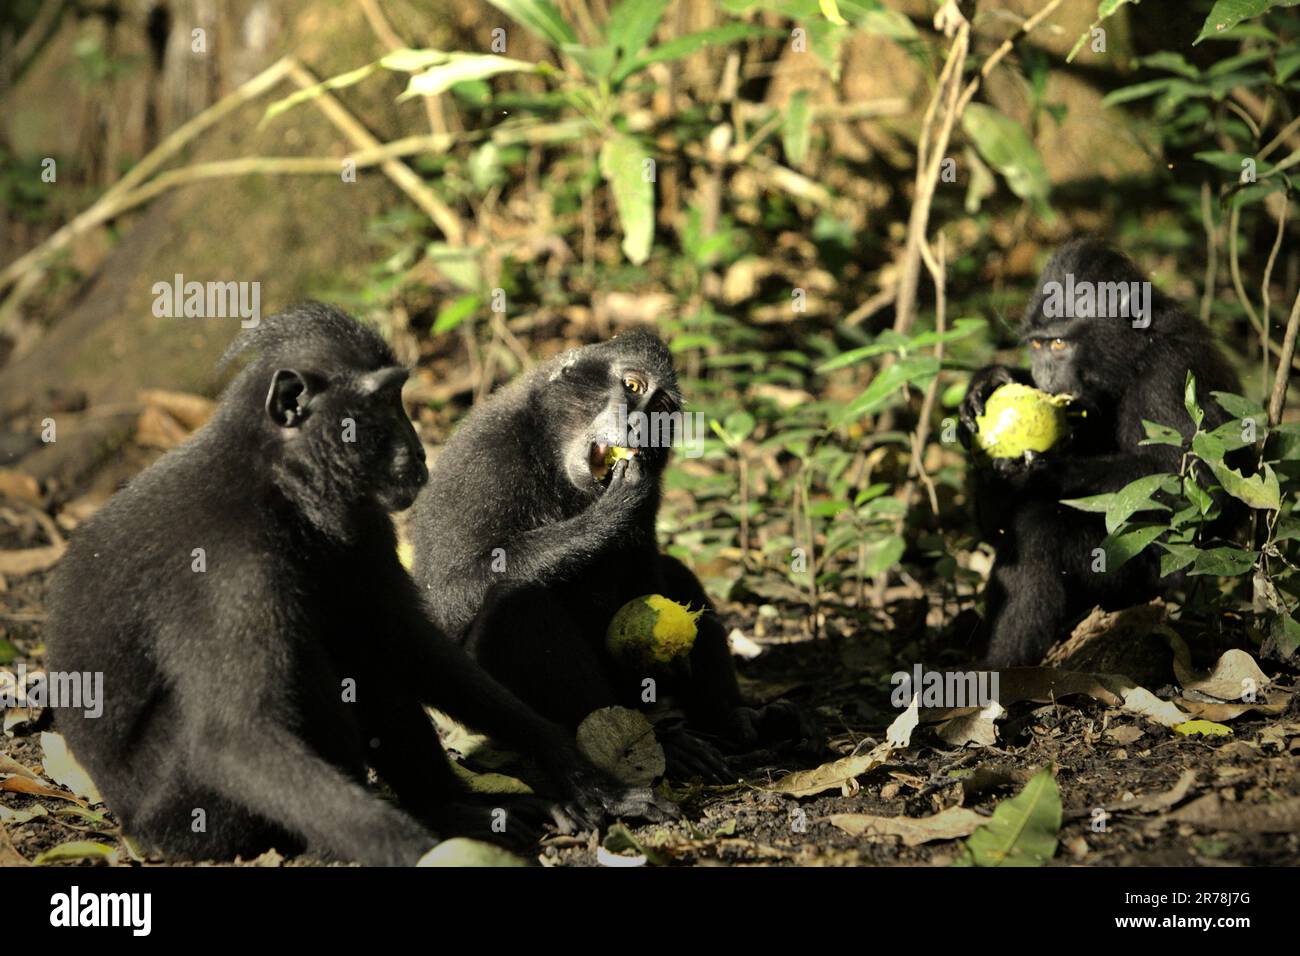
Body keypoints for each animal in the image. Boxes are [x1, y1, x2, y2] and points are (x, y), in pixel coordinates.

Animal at [45, 303, 671, 866]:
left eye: (661, 407)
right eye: (380, 402)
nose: (418, 451)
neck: (273, 480)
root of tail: (133, 825)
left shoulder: (361, 517)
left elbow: (405, 638)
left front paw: (579, 772)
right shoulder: (227, 563)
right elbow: (235, 736)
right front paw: (409, 850)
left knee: (363, 648)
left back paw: (452, 808)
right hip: (189, 818)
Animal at [408, 330, 817, 781]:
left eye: (661, 408)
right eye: (633, 386)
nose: (641, 424)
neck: (550, 451)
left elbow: (647, 578)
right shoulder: (485, 461)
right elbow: (448, 597)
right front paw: (610, 513)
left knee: (677, 574)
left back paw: (733, 721)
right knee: (518, 604)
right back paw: (650, 744)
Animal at [958, 239, 1242, 667]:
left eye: (1060, 344)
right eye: (1037, 345)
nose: (1043, 377)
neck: (1135, 357)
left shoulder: (1170, 374)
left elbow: (1200, 487)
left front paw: (1047, 471)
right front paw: (985, 385)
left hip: (1140, 578)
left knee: (1038, 530)